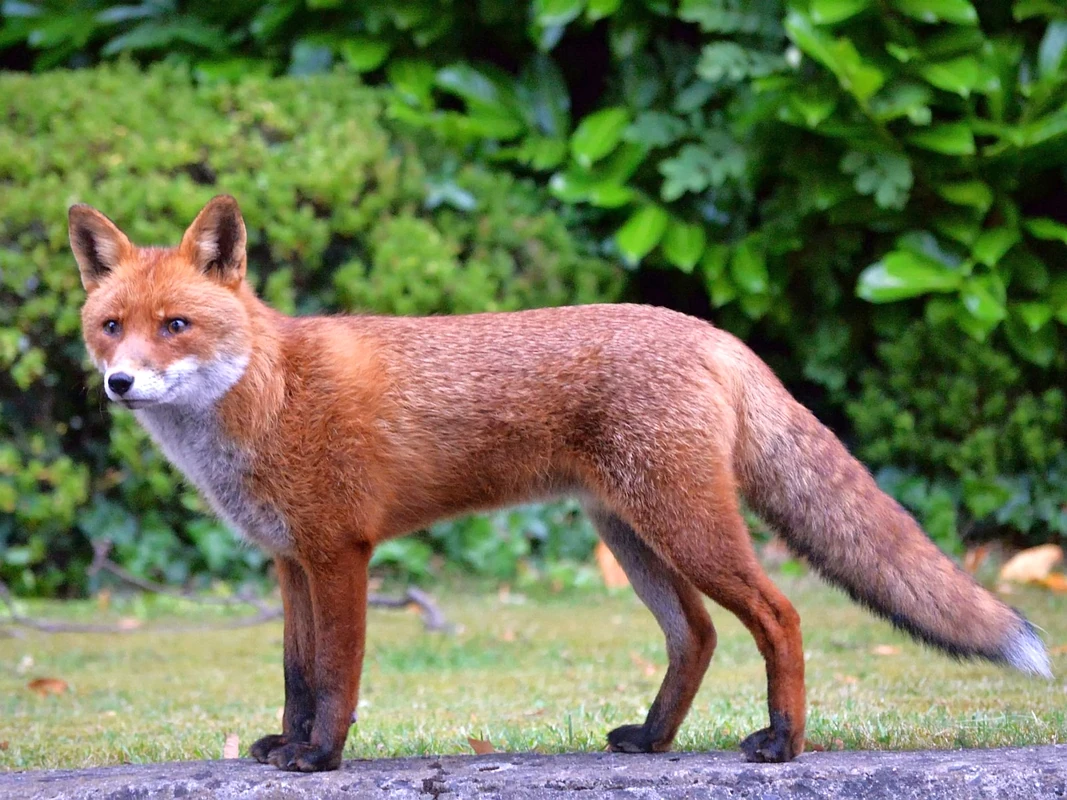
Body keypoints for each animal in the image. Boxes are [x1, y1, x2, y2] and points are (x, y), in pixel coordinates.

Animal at [70, 195, 1051, 772]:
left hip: (687, 528)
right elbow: (295, 673)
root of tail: (709, 332)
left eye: (177, 325)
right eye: (112, 326)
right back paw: (653, 740)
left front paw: (319, 759)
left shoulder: (341, 552)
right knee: (696, 636)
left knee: (779, 616)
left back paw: (783, 742)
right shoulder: (288, 561)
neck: (265, 396)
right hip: (634, 536)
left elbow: (337, 676)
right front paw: (287, 742)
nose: (119, 384)